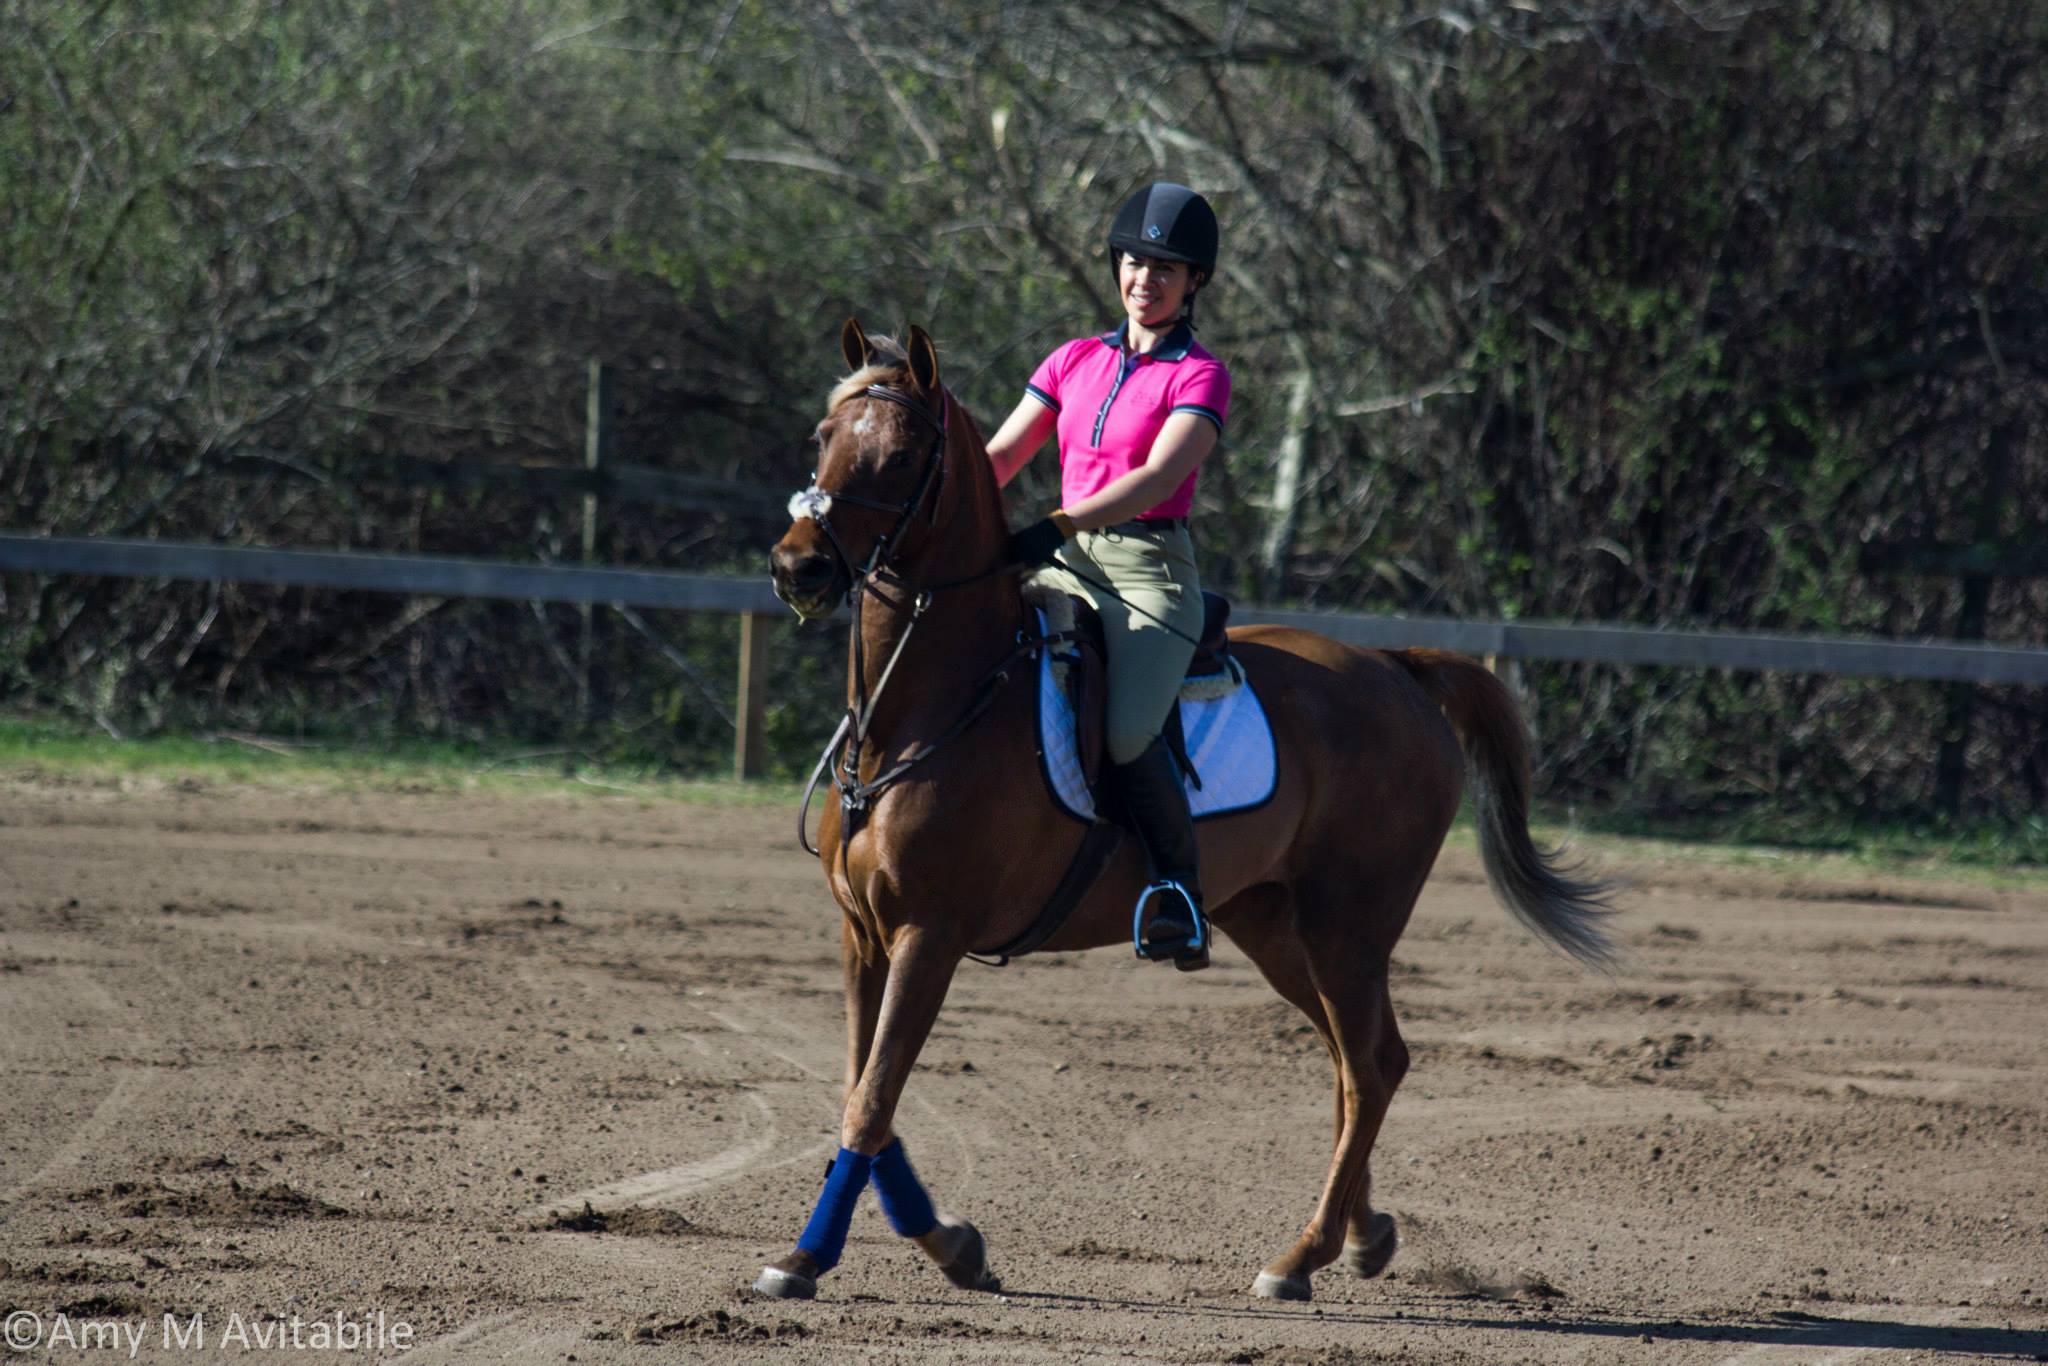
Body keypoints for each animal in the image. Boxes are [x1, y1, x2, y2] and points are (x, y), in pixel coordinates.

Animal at [757, 318, 1612, 1303]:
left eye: (899, 457)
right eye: (823, 437)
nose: (799, 567)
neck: (931, 706)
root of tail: (1394, 667)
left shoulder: (929, 935)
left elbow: (871, 1101)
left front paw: (808, 1257)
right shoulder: (863, 935)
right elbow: (864, 1093)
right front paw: (952, 1244)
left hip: (1348, 924)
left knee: (1371, 1065)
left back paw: (1300, 1256)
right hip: (1273, 922)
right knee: (1351, 1060)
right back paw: (1362, 1236)